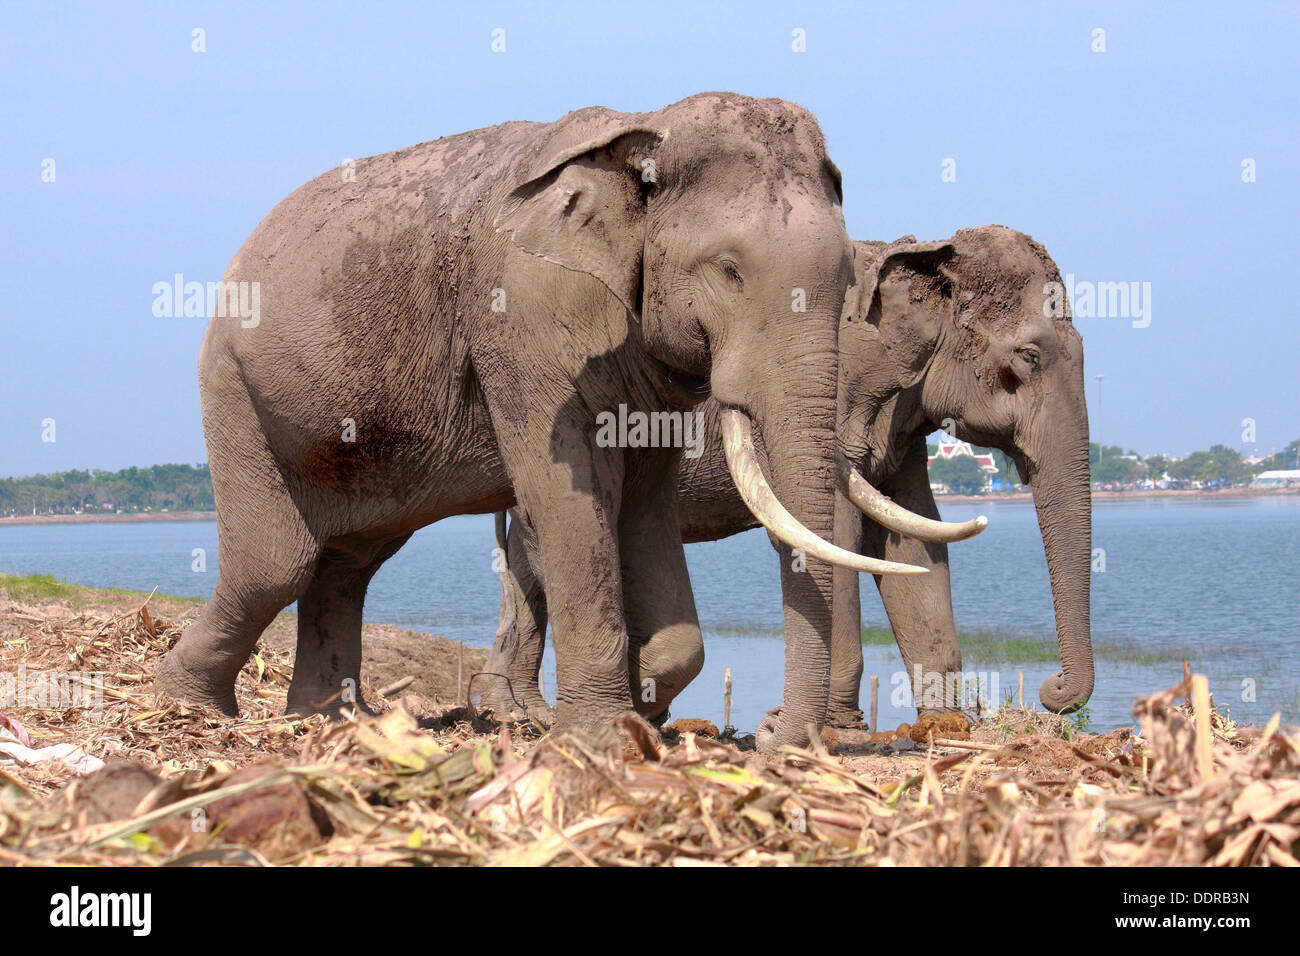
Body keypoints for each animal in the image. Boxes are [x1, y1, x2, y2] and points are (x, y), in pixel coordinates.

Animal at [155, 92, 933, 742]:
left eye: (846, 283)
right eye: (729, 271)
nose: (773, 735)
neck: (643, 129)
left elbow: (645, 508)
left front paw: (642, 698)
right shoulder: (522, 320)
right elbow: (567, 498)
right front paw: (599, 733)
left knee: (350, 561)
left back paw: (330, 719)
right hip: (232, 387)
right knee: (278, 563)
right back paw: (188, 705)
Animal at [481, 225, 1094, 739]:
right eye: (1028, 357)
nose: (1053, 690)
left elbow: (914, 541)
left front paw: (946, 725)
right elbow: (840, 534)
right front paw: (834, 729)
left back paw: (531, 711)